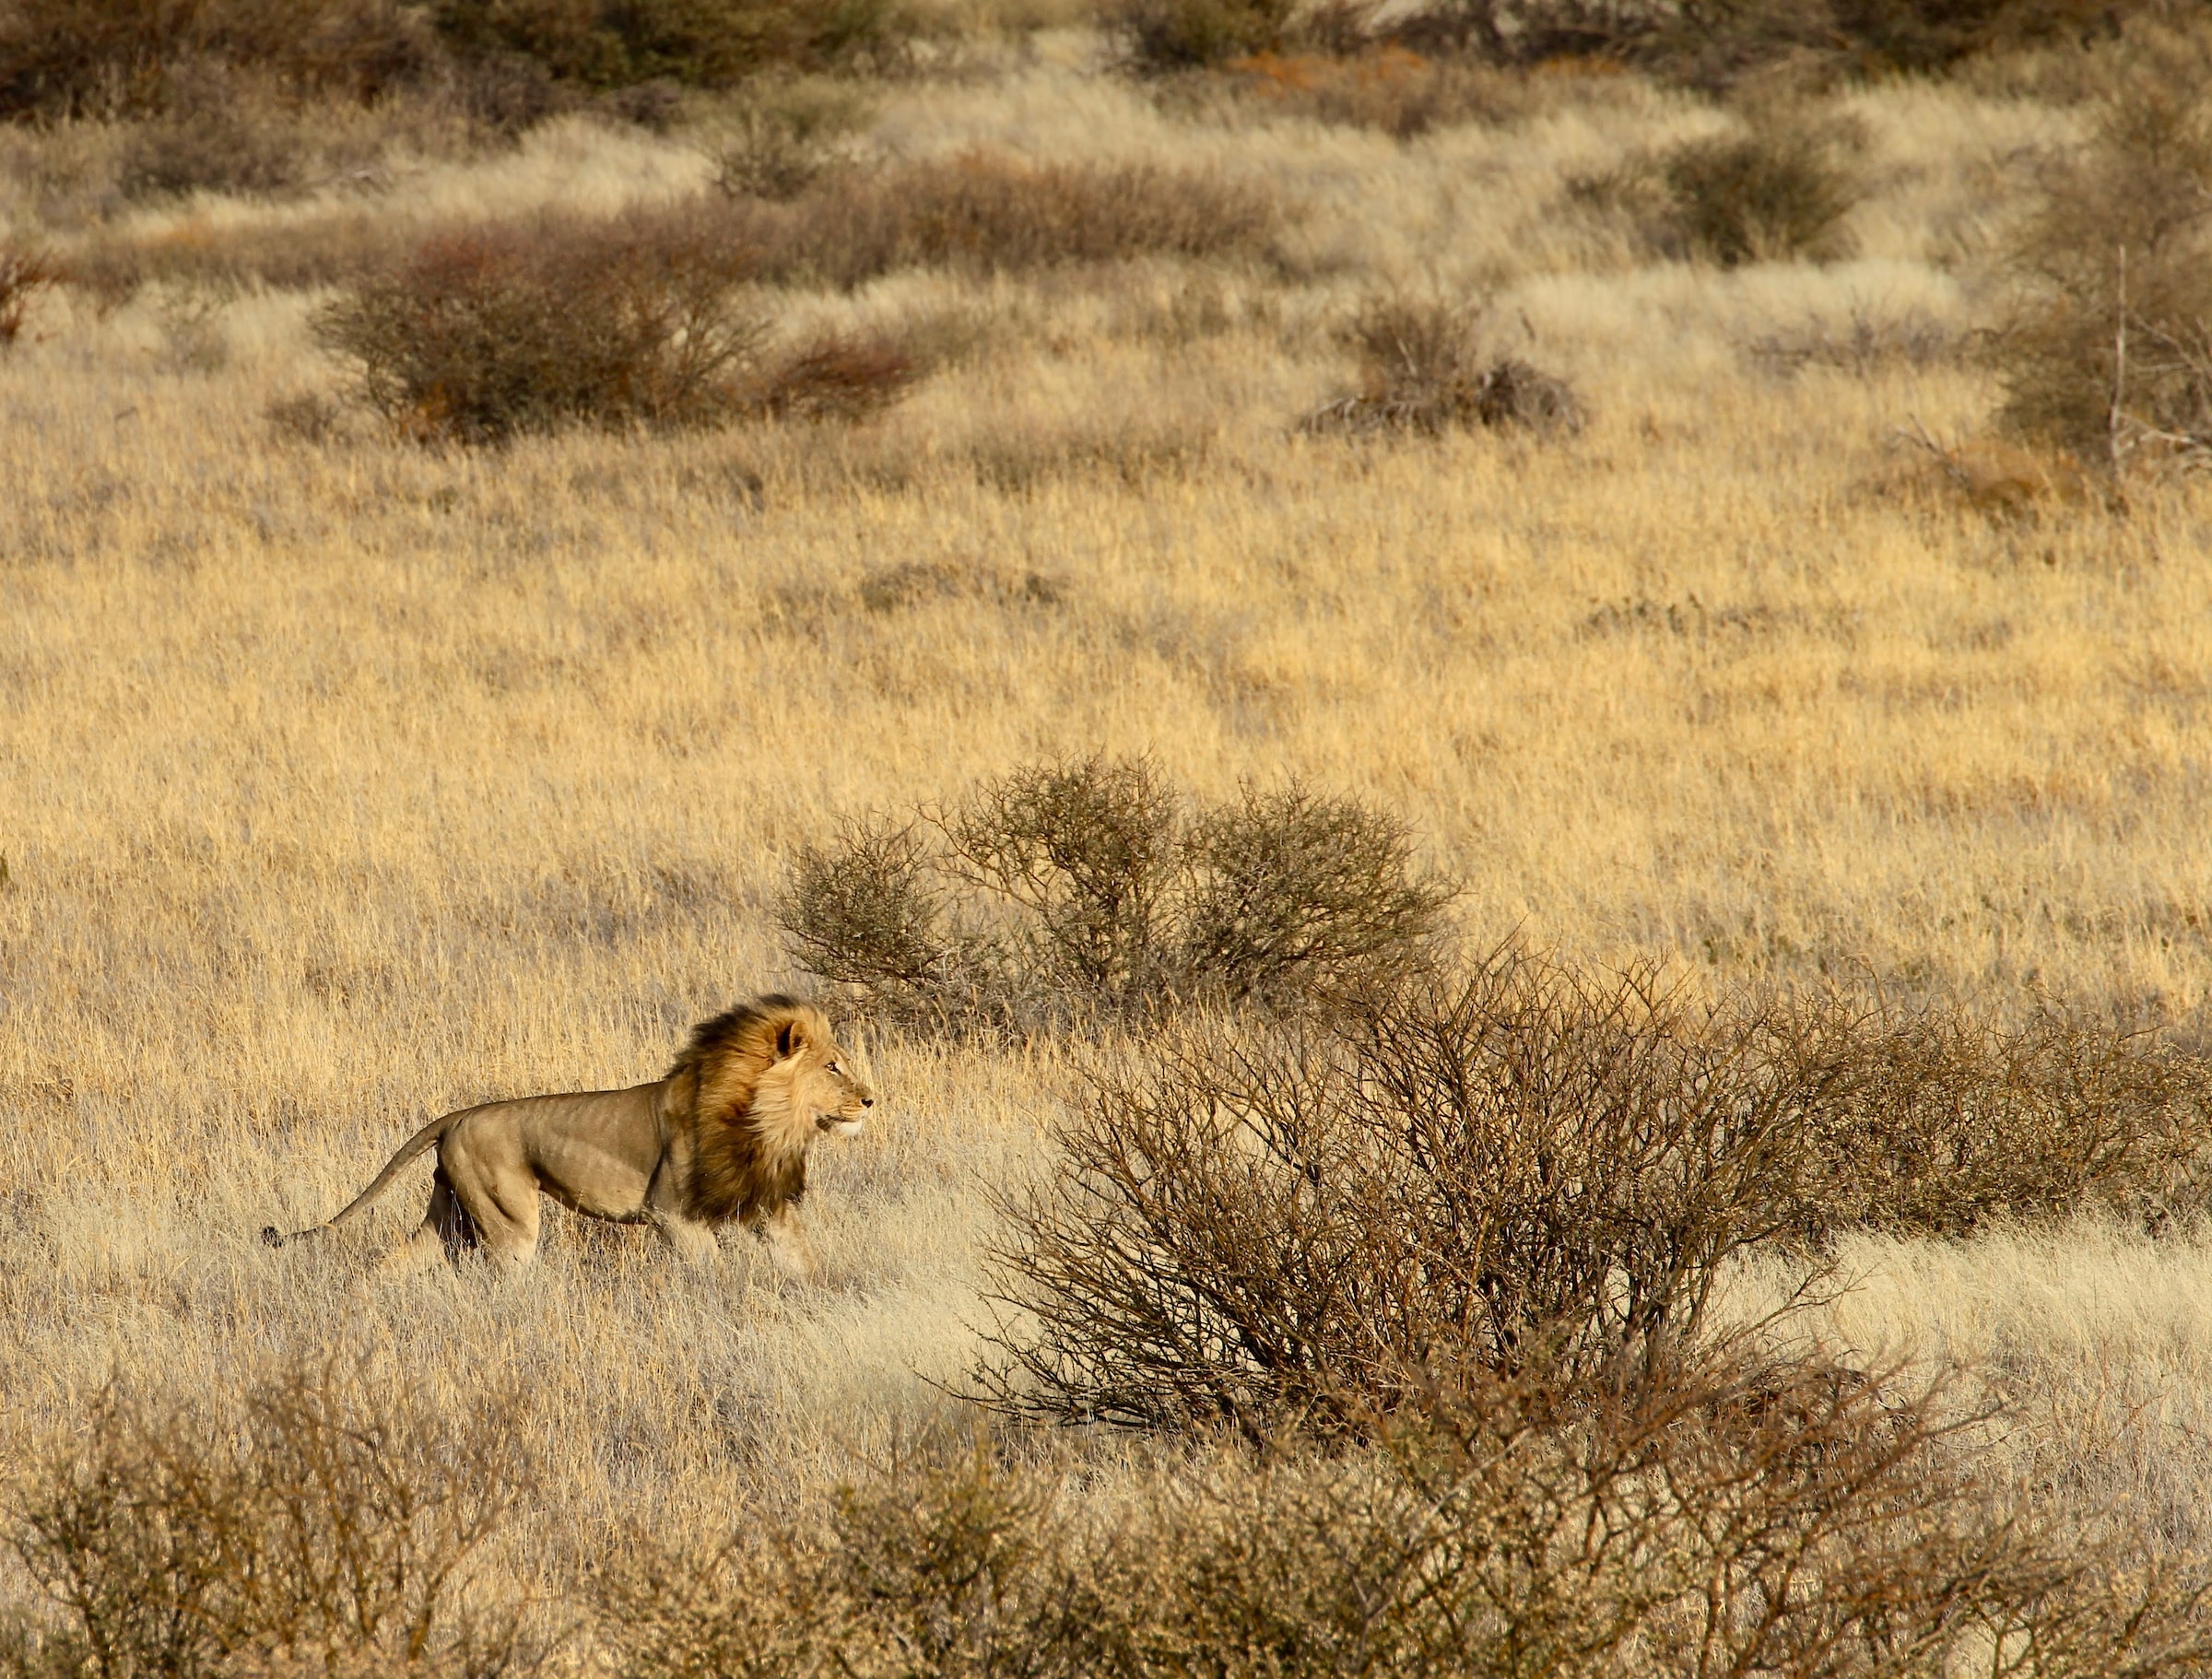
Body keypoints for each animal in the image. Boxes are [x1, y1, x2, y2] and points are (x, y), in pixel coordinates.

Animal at [262, 997, 873, 1278]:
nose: (871, 1100)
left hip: (451, 1210)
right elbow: (709, 1269)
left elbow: (803, 1258)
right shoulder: (671, 1211)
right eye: (833, 1067)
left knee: (397, 1261)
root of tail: (457, 1115)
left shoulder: (766, 1203)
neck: (765, 1123)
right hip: (508, 1217)